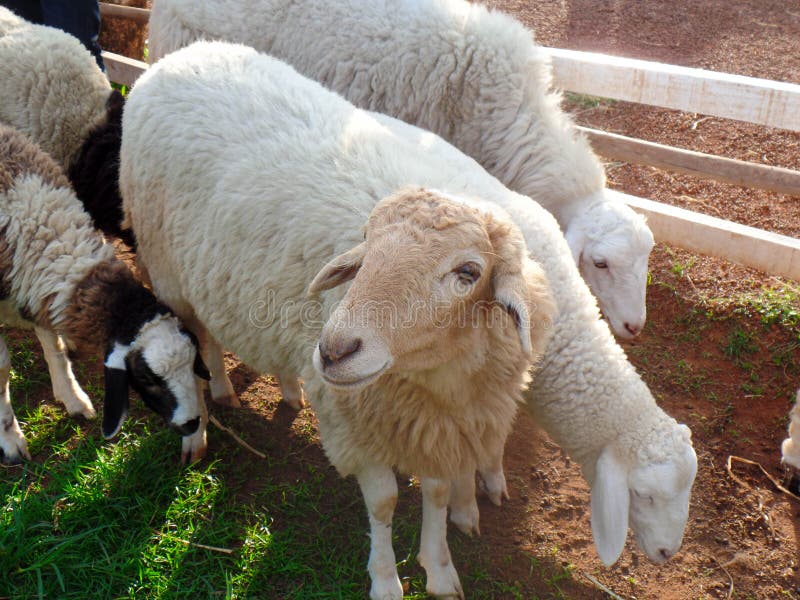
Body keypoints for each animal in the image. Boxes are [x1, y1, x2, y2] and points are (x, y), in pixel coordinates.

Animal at [0, 123, 209, 465]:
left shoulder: (32, 292)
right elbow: (4, 368)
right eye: (147, 379)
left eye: (193, 363)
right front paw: (10, 439)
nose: (192, 422)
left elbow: (51, 340)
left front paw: (71, 397)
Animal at [121, 40, 696, 573]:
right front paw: (466, 509)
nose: (668, 553)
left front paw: (483, 487)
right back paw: (206, 408)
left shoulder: (485, 390)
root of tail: (180, 58)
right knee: (195, 336)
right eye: (644, 496)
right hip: (166, 264)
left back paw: (277, 389)